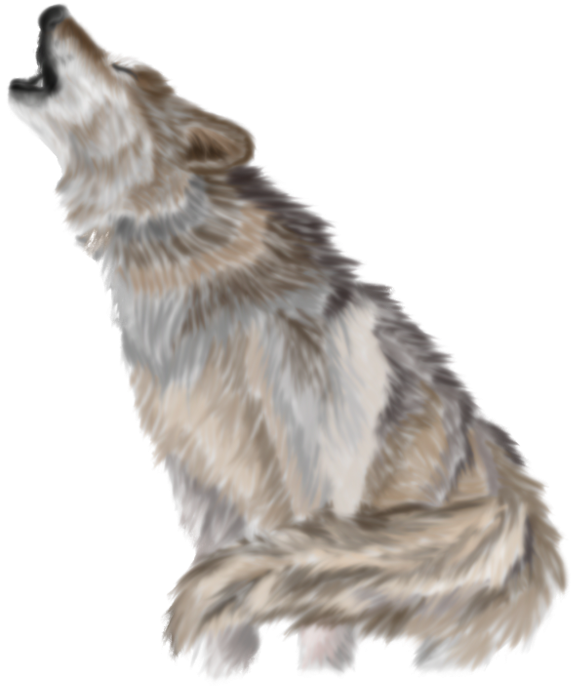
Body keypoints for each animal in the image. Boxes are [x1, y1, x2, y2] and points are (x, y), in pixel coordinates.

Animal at [2, 4, 569, 688]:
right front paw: (220, 668)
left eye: (125, 68)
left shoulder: (312, 483)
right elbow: (234, 585)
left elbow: (309, 593)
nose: (53, 11)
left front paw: (325, 671)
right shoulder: (201, 485)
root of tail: (516, 499)